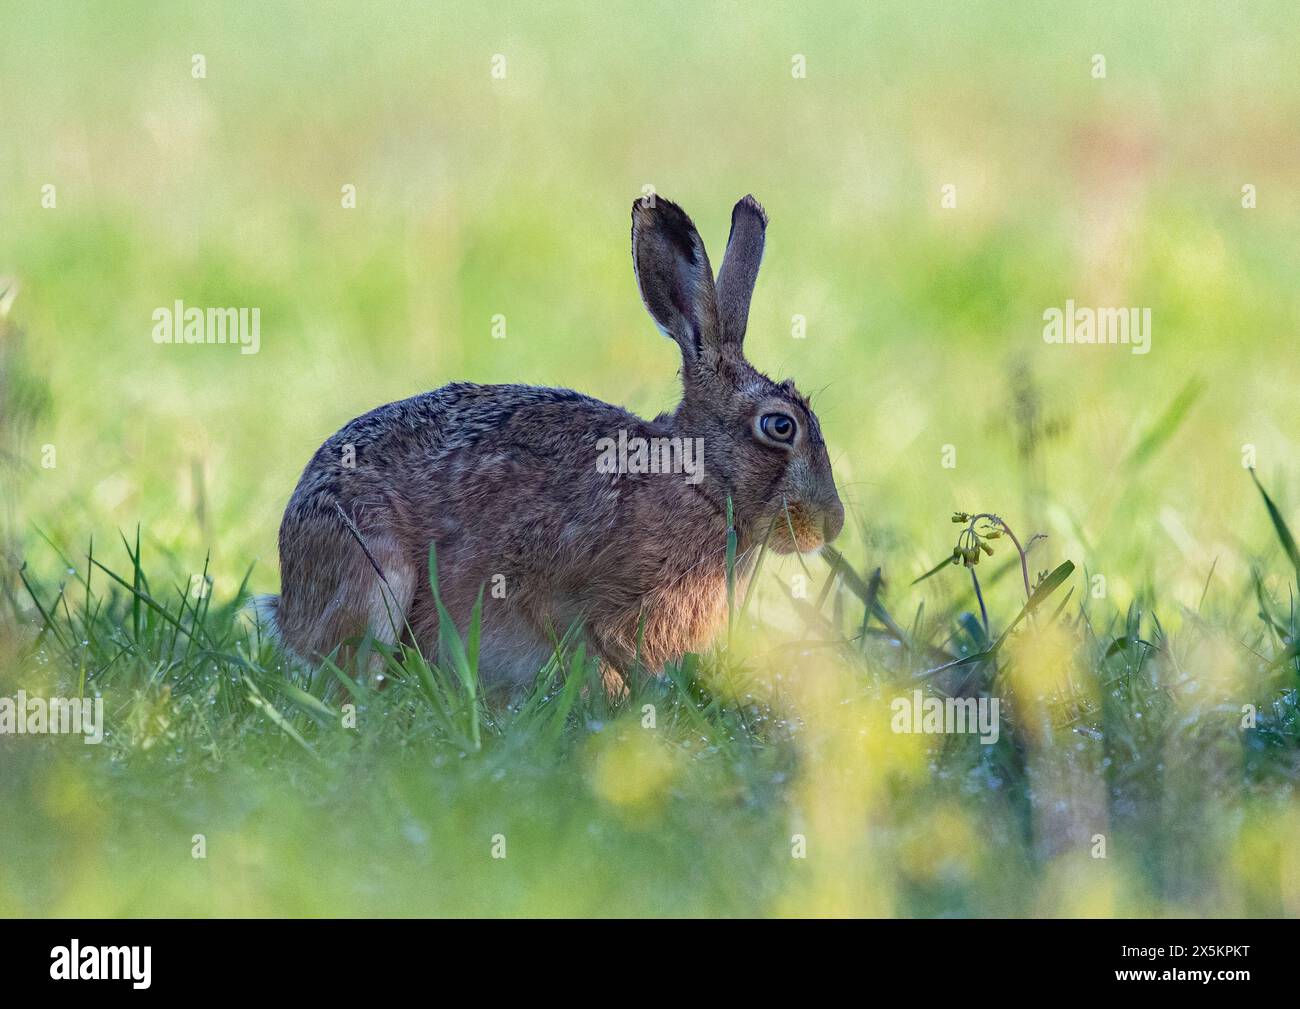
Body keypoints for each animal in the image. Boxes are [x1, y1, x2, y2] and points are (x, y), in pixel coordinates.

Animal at [254, 194, 844, 695]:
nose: (832, 523)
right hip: (375, 573)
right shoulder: (556, 589)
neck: (696, 480)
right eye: (780, 427)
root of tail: (289, 607)